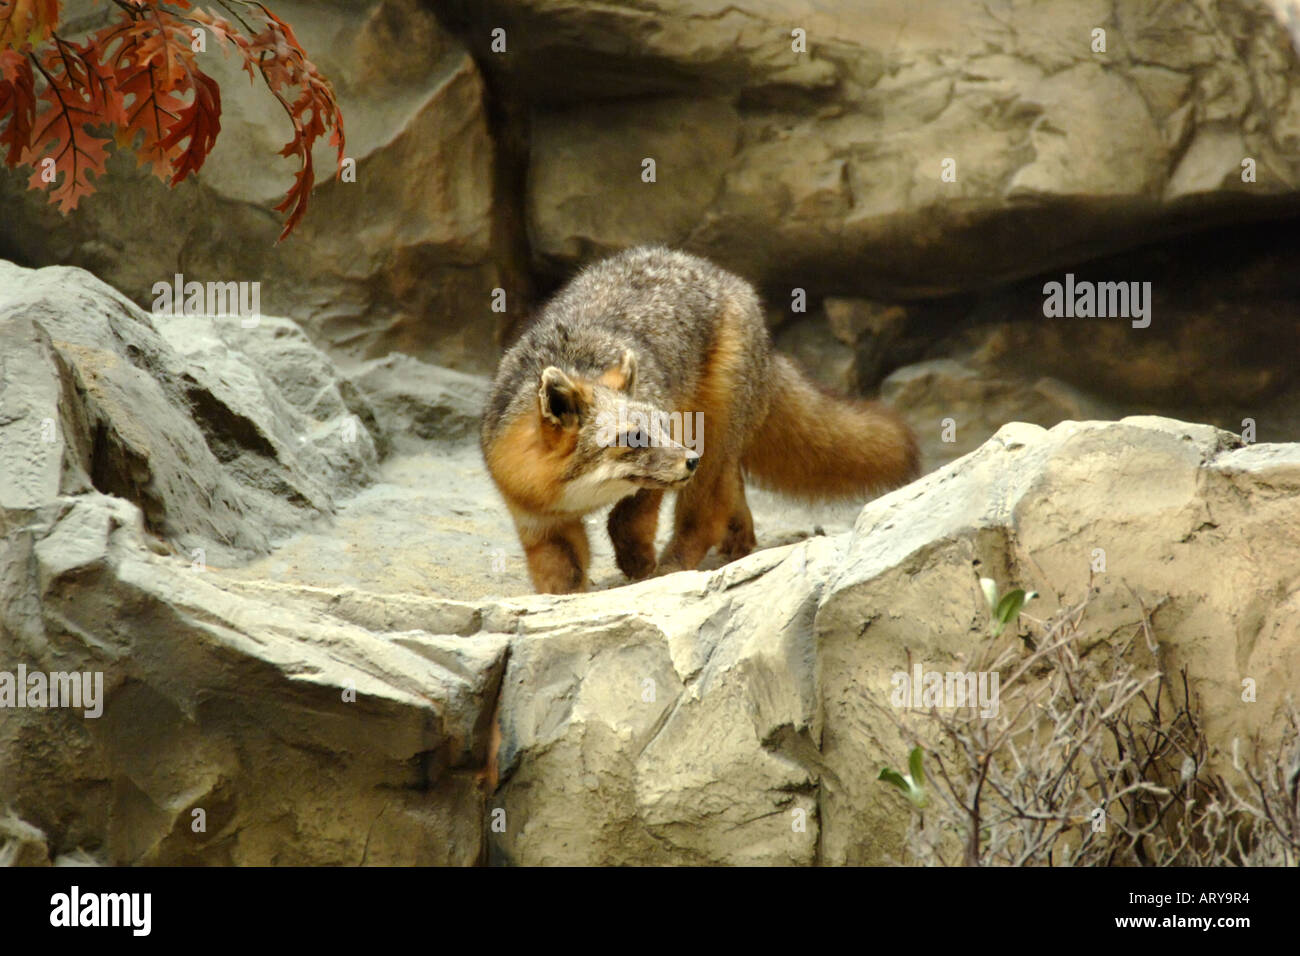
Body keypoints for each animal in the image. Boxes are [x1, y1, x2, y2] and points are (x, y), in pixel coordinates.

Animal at [480, 246, 920, 594]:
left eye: (661, 427)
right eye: (634, 438)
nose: (688, 460)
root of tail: (722, 275)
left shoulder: (656, 474)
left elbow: (625, 521)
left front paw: (639, 563)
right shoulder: (538, 521)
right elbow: (563, 575)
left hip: (710, 433)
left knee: (705, 514)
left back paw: (674, 565)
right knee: (732, 490)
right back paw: (739, 542)